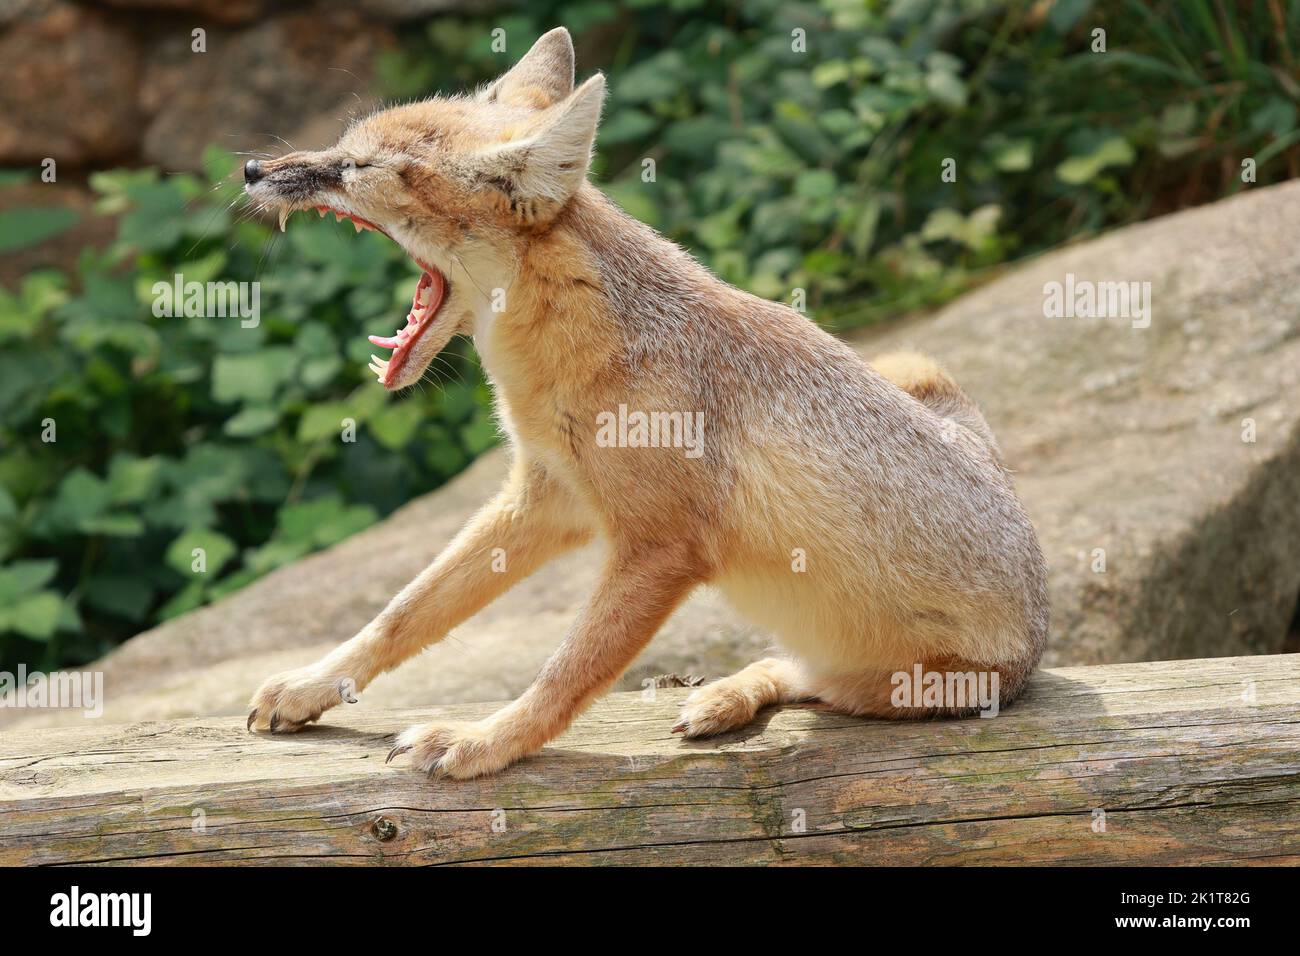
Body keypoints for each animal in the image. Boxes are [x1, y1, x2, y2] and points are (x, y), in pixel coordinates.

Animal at [242, 27, 1049, 779]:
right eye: (342, 144)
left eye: (357, 167)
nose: (251, 168)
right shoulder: (545, 498)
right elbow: (404, 612)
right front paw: (315, 685)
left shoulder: (658, 549)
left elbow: (565, 673)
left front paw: (483, 742)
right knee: (790, 667)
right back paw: (725, 697)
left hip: (896, 685)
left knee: (809, 677)